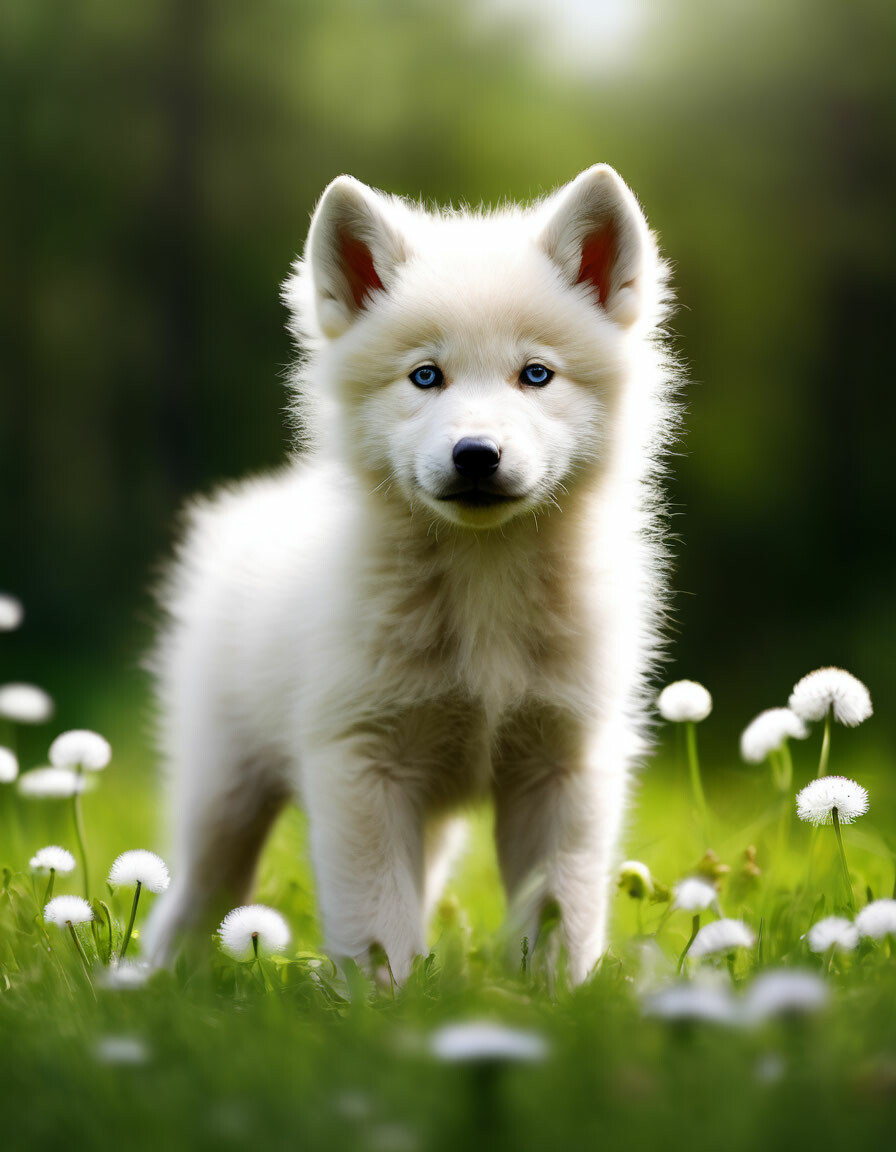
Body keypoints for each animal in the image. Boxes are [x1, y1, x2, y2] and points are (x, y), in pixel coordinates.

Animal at [143, 165, 677, 985]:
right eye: (426, 376)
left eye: (536, 375)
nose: (476, 454)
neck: (483, 575)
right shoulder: (362, 760)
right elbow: (375, 921)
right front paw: (380, 1006)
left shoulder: (563, 762)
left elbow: (561, 908)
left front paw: (557, 1000)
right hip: (224, 786)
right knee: (198, 892)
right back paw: (150, 983)